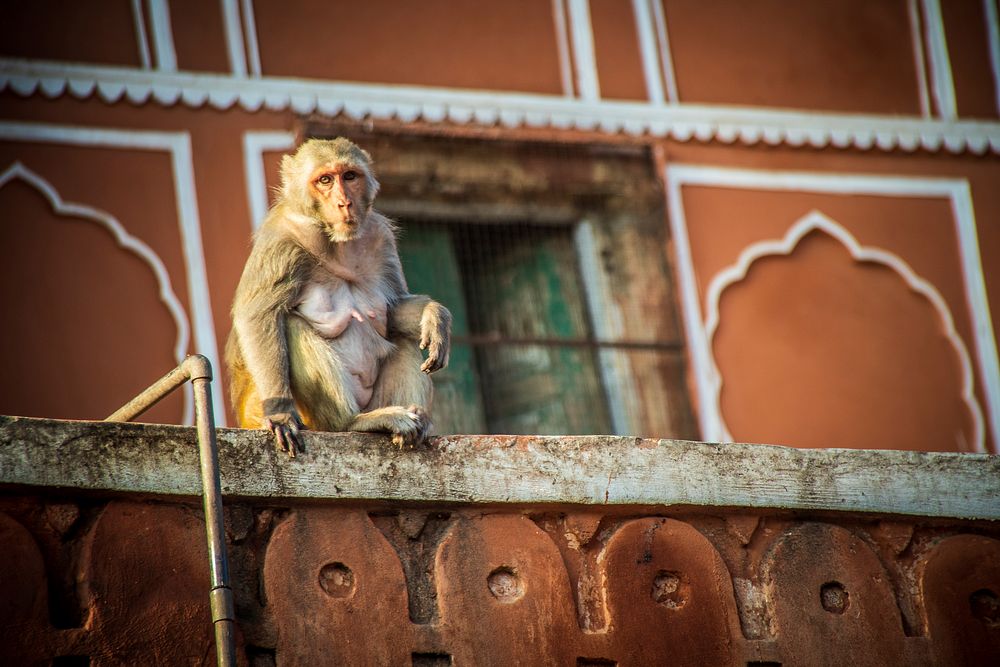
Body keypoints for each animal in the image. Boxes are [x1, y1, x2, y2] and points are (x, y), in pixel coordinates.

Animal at [225, 137, 451, 456]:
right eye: (325, 180)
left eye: (349, 176)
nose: (344, 202)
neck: (335, 241)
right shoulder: (281, 241)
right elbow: (257, 316)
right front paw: (280, 412)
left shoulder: (380, 236)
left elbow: (391, 312)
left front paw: (435, 316)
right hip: (296, 416)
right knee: (291, 326)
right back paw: (352, 422)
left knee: (404, 341)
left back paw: (412, 422)